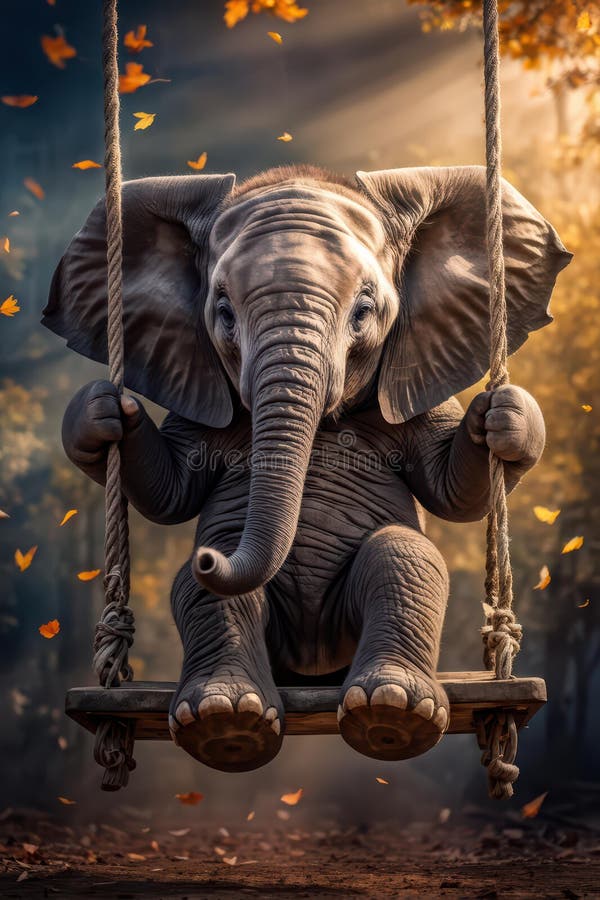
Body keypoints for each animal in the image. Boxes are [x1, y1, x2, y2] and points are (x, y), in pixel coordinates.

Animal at [43, 164, 571, 772]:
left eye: (364, 310)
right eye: (223, 312)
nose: (212, 558)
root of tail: (312, 674)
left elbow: (454, 493)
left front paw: (505, 413)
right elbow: (172, 491)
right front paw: (103, 411)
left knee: (402, 554)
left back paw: (392, 710)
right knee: (203, 587)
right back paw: (226, 716)